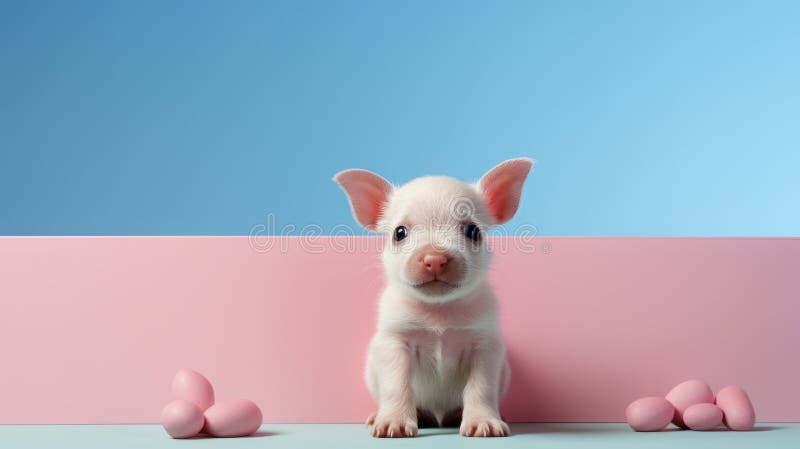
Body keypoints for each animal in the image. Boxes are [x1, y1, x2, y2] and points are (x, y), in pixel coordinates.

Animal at [334, 158, 534, 438]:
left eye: (473, 232)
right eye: (399, 233)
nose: (435, 258)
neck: (438, 310)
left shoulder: (485, 346)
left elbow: (480, 387)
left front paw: (483, 424)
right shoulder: (395, 342)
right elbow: (397, 384)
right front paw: (394, 424)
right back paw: (382, 416)